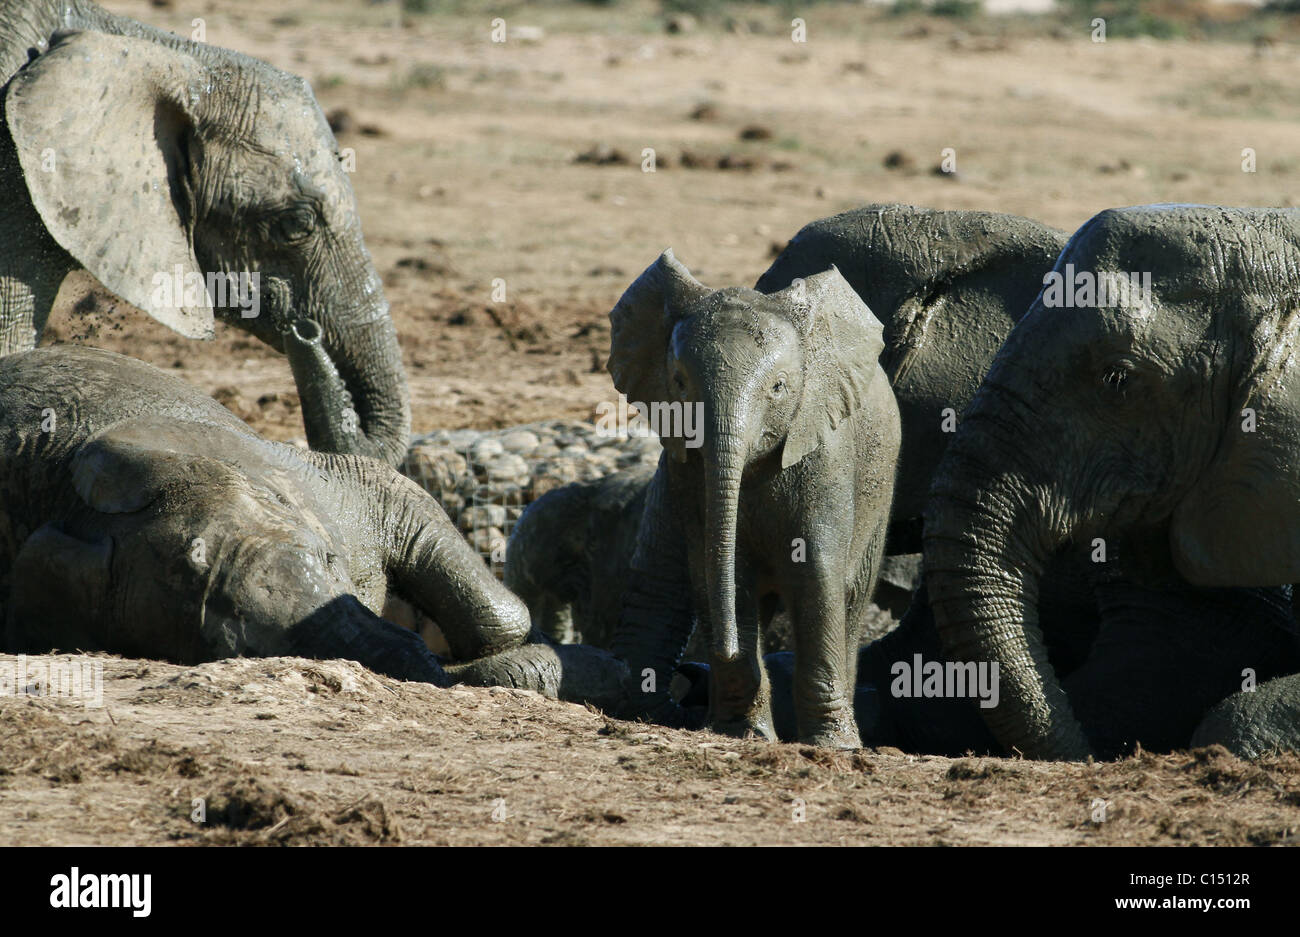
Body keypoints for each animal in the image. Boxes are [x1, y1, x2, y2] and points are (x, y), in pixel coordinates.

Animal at [607, 250, 902, 749]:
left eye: (779, 387)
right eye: (678, 382)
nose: (714, 654)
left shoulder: (827, 456)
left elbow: (817, 573)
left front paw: (832, 746)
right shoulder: (688, 474)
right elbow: (720, 570)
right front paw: (741, 733)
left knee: (850, 597)